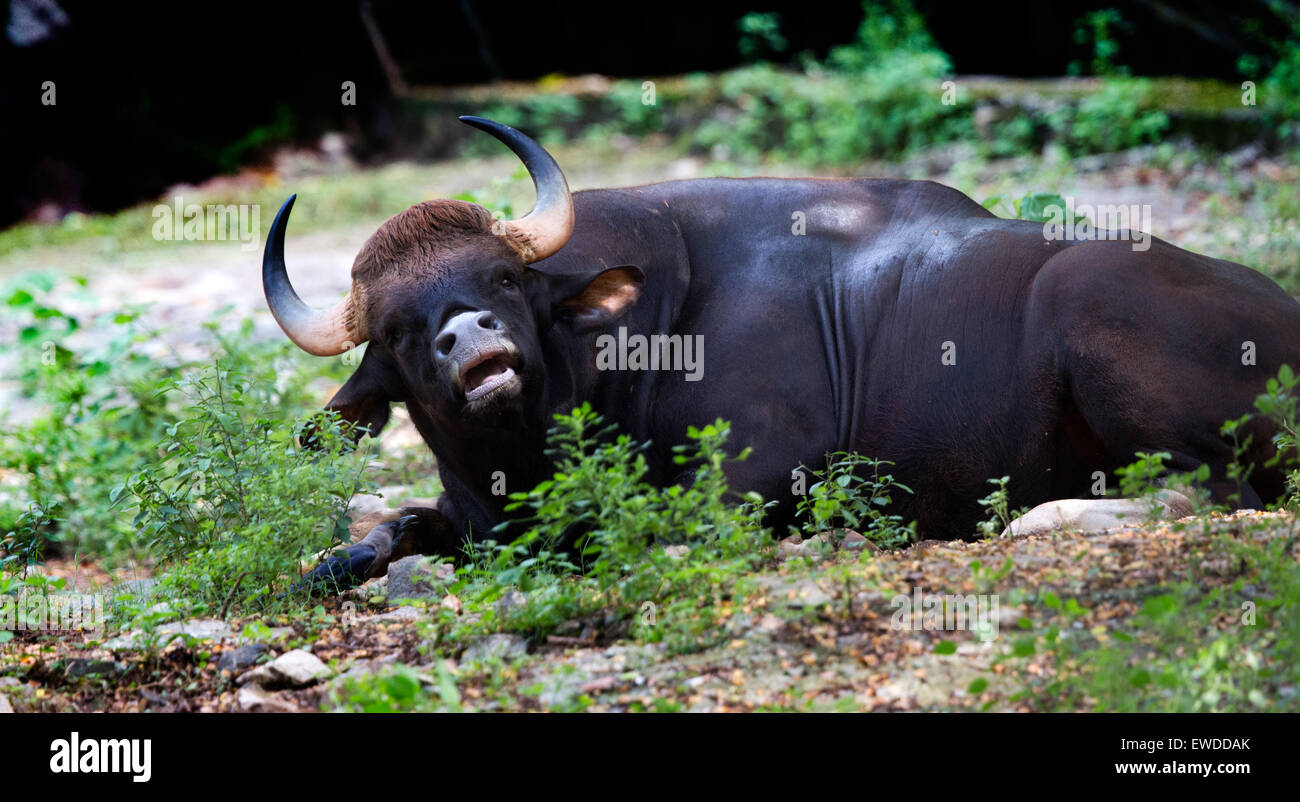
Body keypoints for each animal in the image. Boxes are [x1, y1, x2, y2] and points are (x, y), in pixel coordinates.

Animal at [263, 116, 1300, 591]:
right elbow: (391, 526)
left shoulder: (756, 474)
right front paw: (334, 562)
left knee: (1210, 491)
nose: (468, 334)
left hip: (1092, 311)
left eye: (506, 280)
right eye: (398, 329)